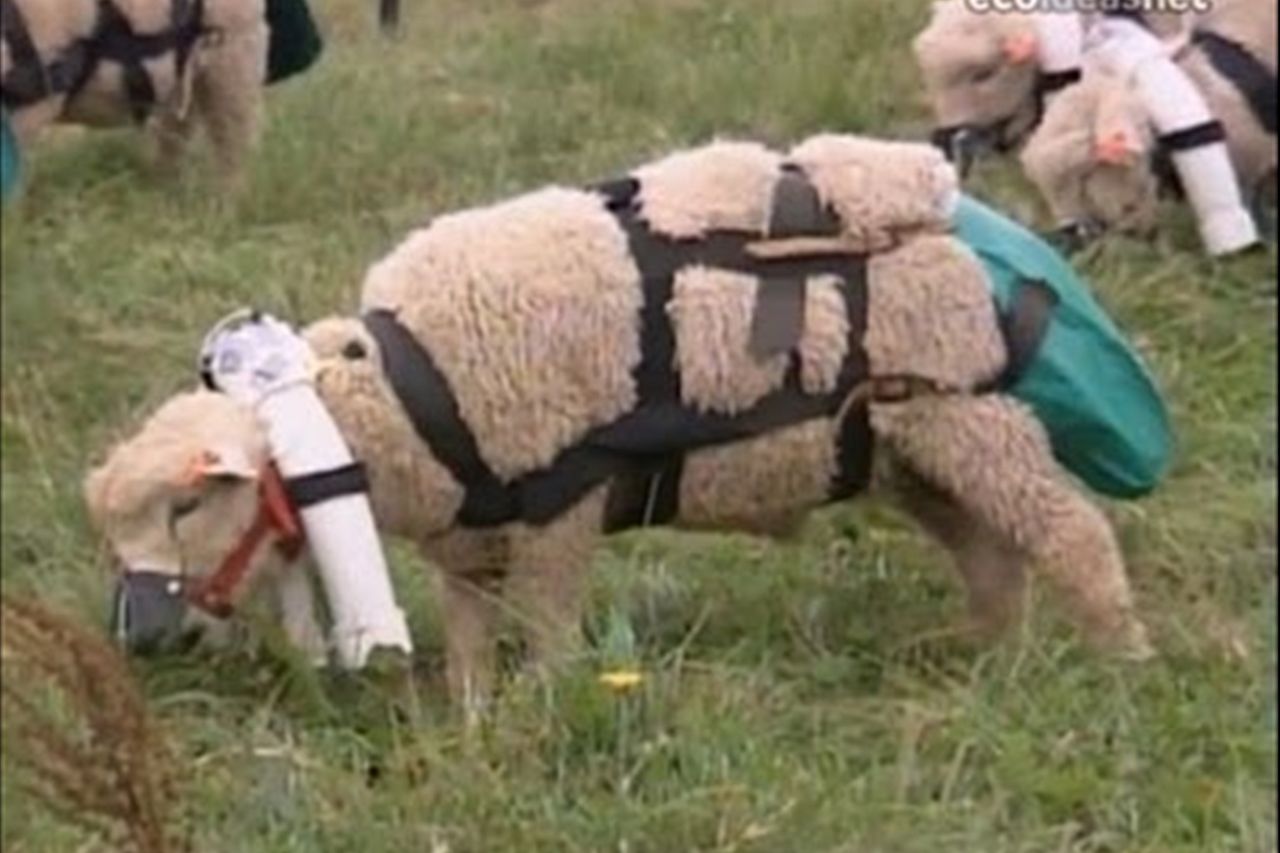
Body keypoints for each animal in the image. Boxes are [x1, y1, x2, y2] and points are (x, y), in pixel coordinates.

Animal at [1, 0, 271, 190]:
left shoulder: (33, 107)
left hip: (232, 58)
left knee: (232, 142)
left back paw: (223, 211)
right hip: (188, 78)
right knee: (177, 135)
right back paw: (164, 194)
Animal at [84, 134, 1155, 710]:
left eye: (189, 507)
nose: (139, 639)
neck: (396, 402)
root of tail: (962, 219)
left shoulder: (561, 508)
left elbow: (551, 630)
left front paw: (547, 709)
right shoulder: (471, 533)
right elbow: (471, 637)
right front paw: (472, 721)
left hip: (962, 412)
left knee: (1069, 530)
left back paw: (1121, 662)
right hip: (903, 449)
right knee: (988, 544)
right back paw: (989, 651)